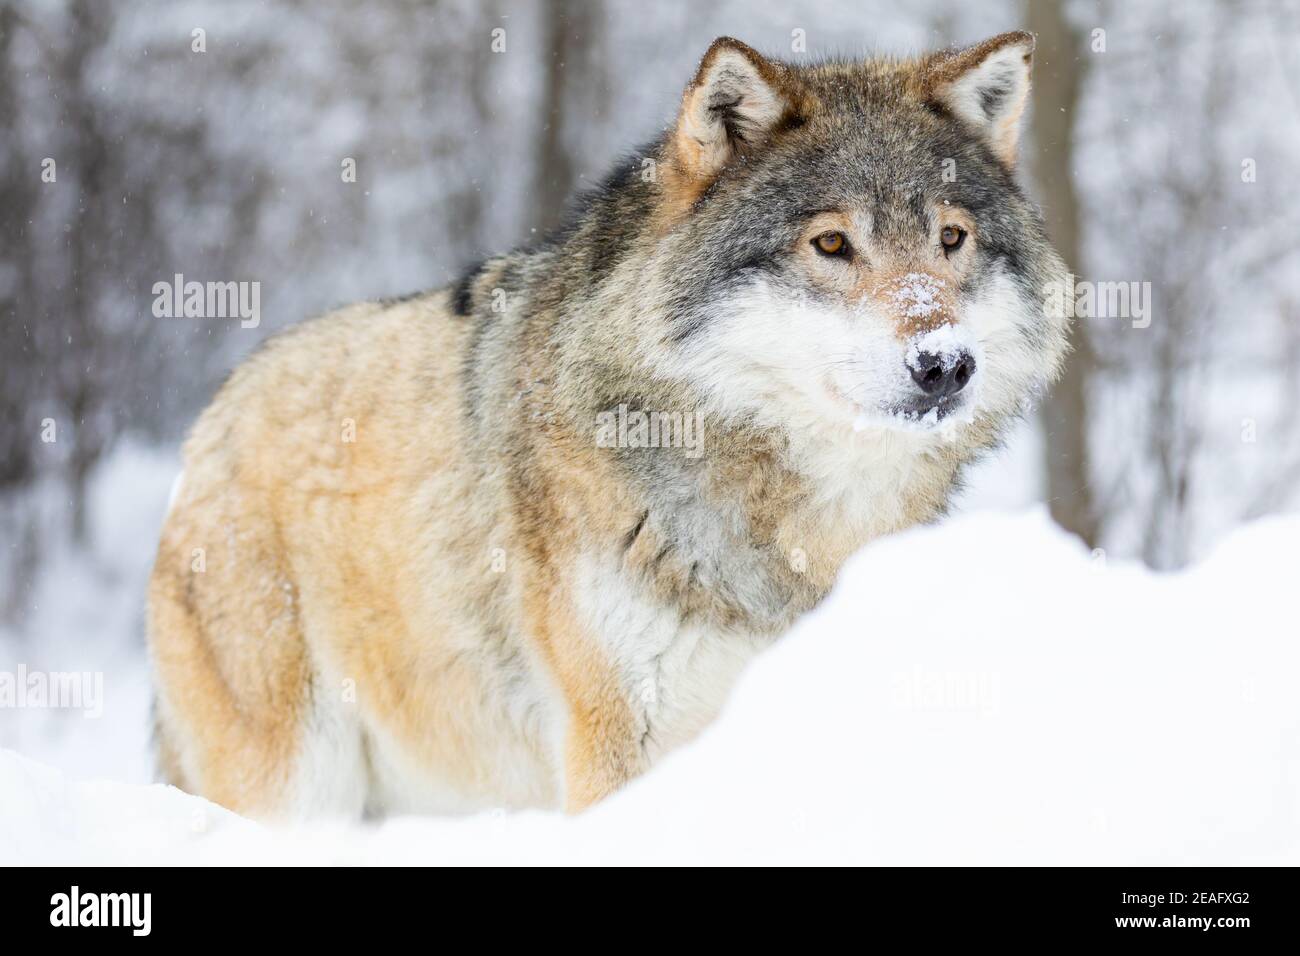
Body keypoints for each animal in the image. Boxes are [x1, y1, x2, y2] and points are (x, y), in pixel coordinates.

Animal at [148, 32, 1070, 818]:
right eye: (833, 244)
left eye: (951, 238)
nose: (945, 364)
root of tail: (214, 417)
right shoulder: (620, 737)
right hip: (297, 787)